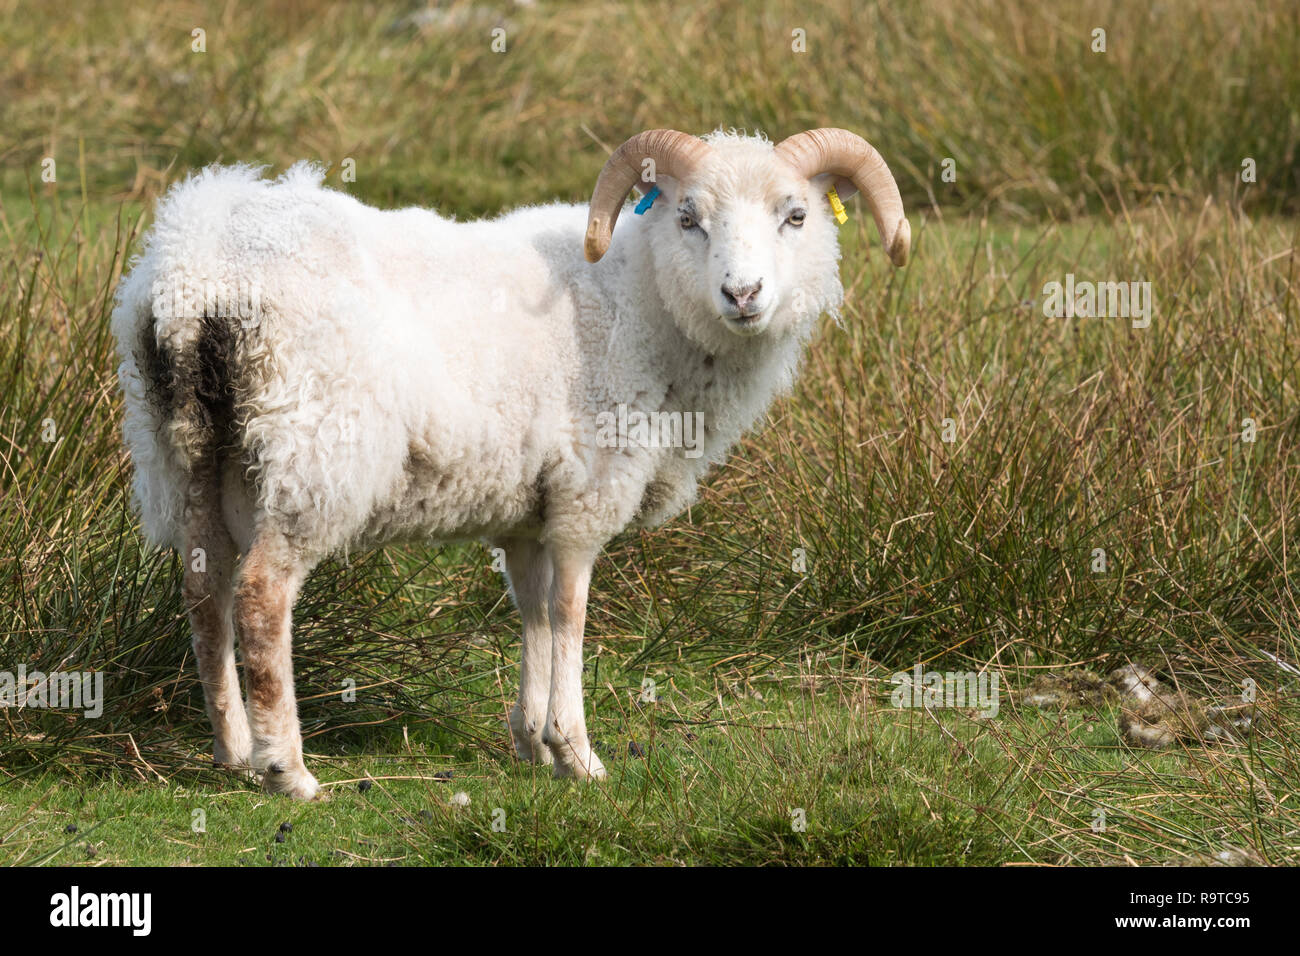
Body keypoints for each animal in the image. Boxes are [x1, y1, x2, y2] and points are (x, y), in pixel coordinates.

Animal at [111, 127, 910, 798]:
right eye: (689, 217)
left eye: (796, 216)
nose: (743, 294)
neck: (639, 298)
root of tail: (194, 271)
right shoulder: (588, 491)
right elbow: (571, 612)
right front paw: (578, 752)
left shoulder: (530, 506)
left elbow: (533, 611)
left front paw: (531, 741)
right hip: (314, 457)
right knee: (260, 595)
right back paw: (288, 769)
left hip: (184, 456)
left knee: (203, 589)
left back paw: (232, 751)